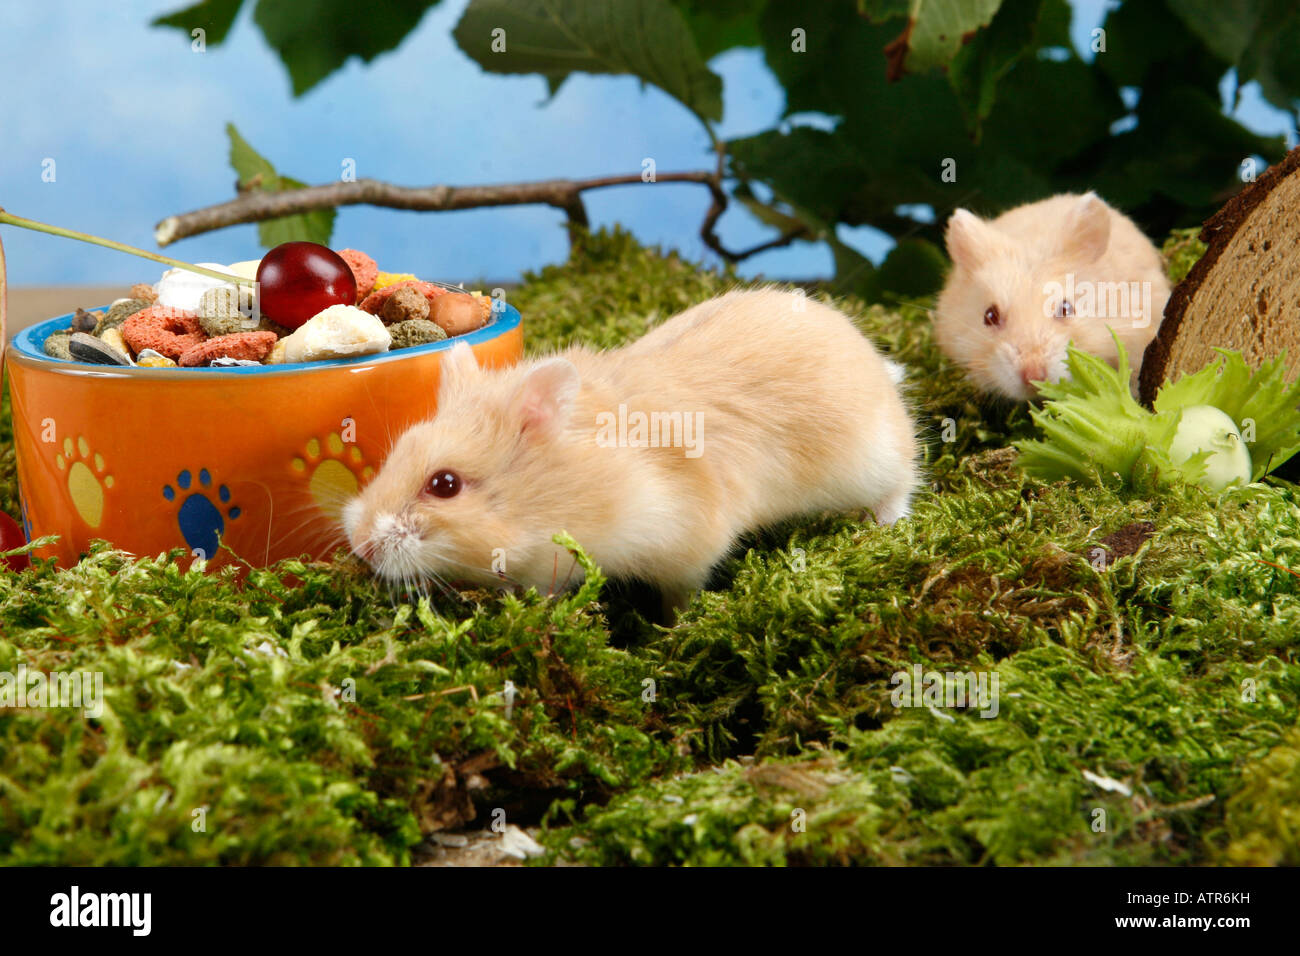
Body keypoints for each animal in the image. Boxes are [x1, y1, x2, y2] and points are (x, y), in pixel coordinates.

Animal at [342, 288, 919, 612]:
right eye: (398, 452)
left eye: (445, 485)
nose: (361, 547)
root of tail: (877, 363)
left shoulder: (689, 543)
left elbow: (680, 595)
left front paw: (667, 632)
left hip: (877, 457)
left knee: (907, 475)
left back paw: (883, 524)